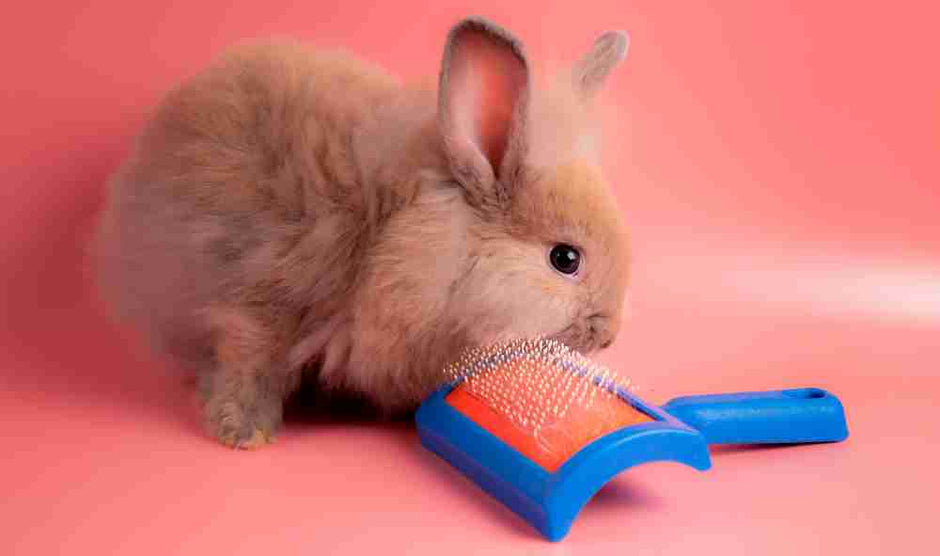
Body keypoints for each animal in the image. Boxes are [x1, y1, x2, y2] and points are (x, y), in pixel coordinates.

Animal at [92, 16, 632, 449]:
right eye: (565, 259)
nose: (608, 336)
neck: (384, 234)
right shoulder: (260, 298)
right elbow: (247, 360)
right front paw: (245, 433)